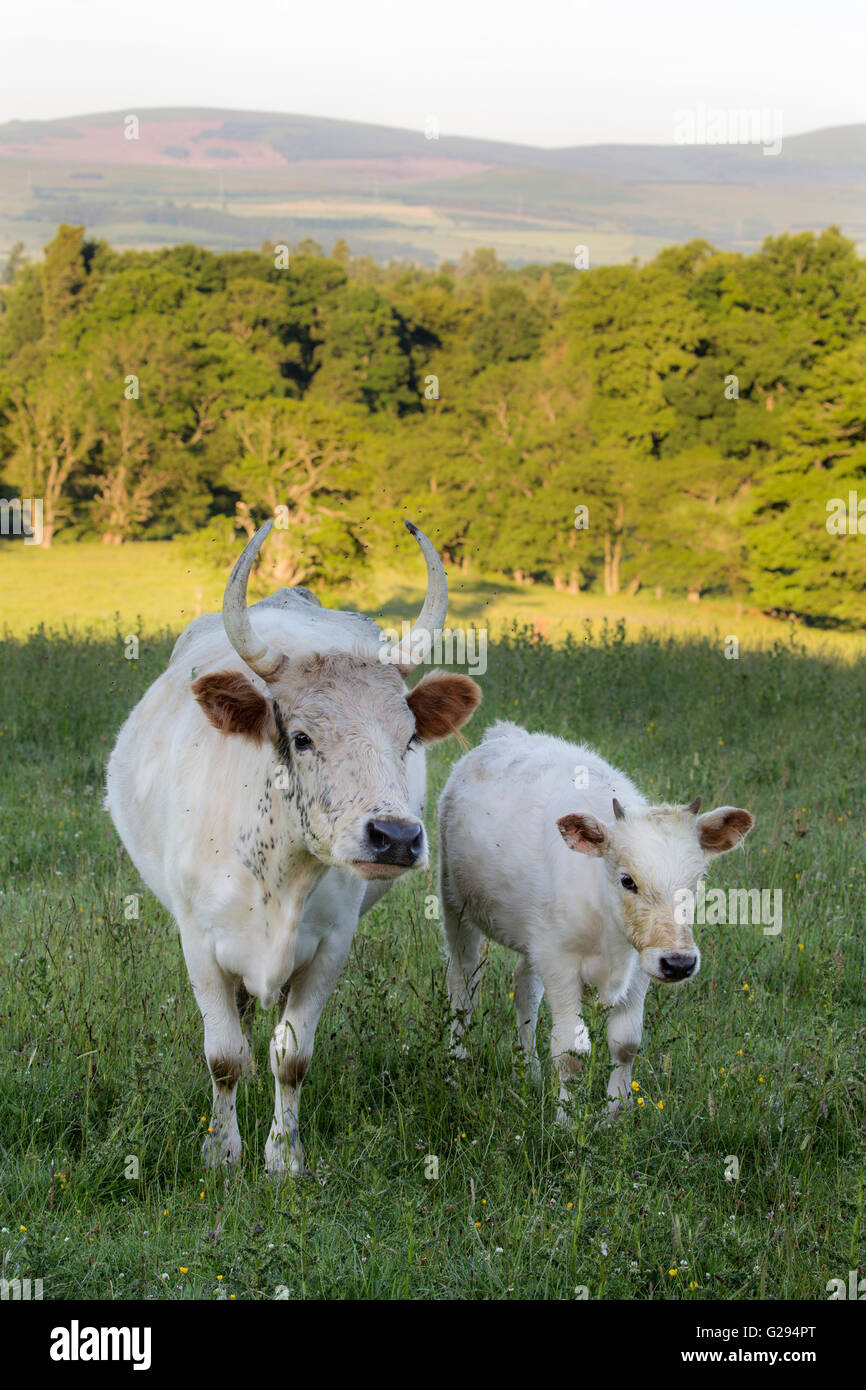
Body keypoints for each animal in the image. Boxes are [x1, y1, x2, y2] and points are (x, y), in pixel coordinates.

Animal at [106, 521, 481, 1176]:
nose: (396, 837)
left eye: (409, 738)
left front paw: (283, 1157)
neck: (279, 873)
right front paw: (221, 1152)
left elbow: (293, 1055)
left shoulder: (330, 947)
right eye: (302, 737)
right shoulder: (198, 943)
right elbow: (224, 1053)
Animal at [438, 722, 754, 1123]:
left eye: (697, 881)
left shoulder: (638, 964)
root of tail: (505, 732)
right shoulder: (559, 962)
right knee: (462, 985)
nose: (679, 963)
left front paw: (614, 1114)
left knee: (525, 989)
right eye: (627, 880)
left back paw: (530, 1070)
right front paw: (566, 1121)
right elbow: (570, 1051)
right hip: (455, 904)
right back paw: (456, 1064)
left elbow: (626, 1043)